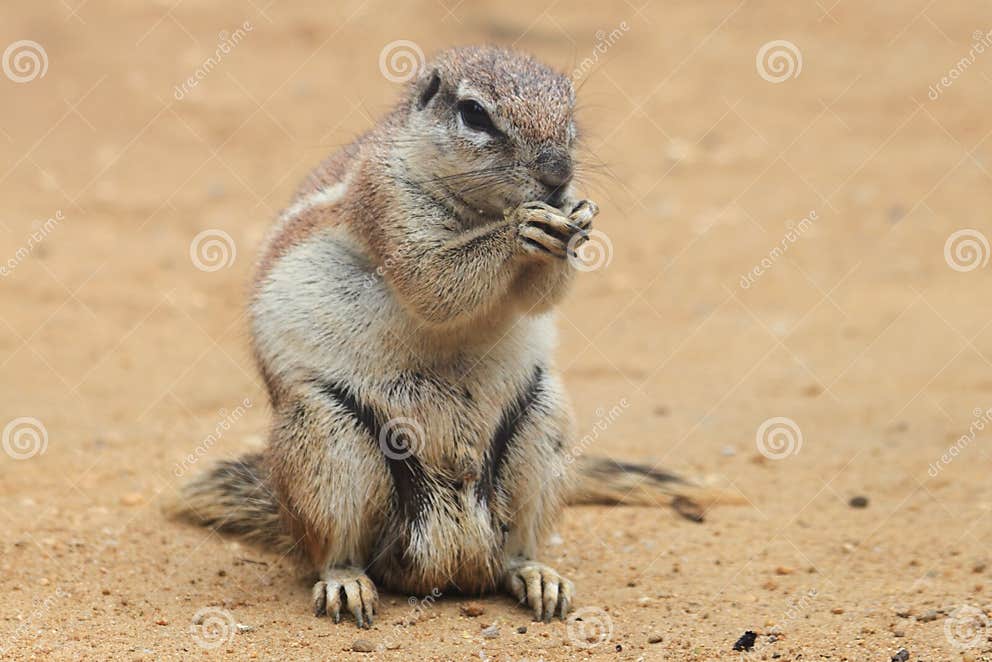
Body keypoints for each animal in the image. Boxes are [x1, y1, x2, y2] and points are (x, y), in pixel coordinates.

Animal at [172, 45, 727, 628]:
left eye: (571, 115)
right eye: (474, 114)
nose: (558, 174)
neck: (480, 209)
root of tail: (451, 553)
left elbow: (539, 297)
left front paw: (577, 218)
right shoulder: (386, 200)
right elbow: (432, 280)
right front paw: (521, 230)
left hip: (539, 421)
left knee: (514, 547)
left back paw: (537, 575)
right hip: (324, 437)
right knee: (335, 549)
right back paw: (346, 583)